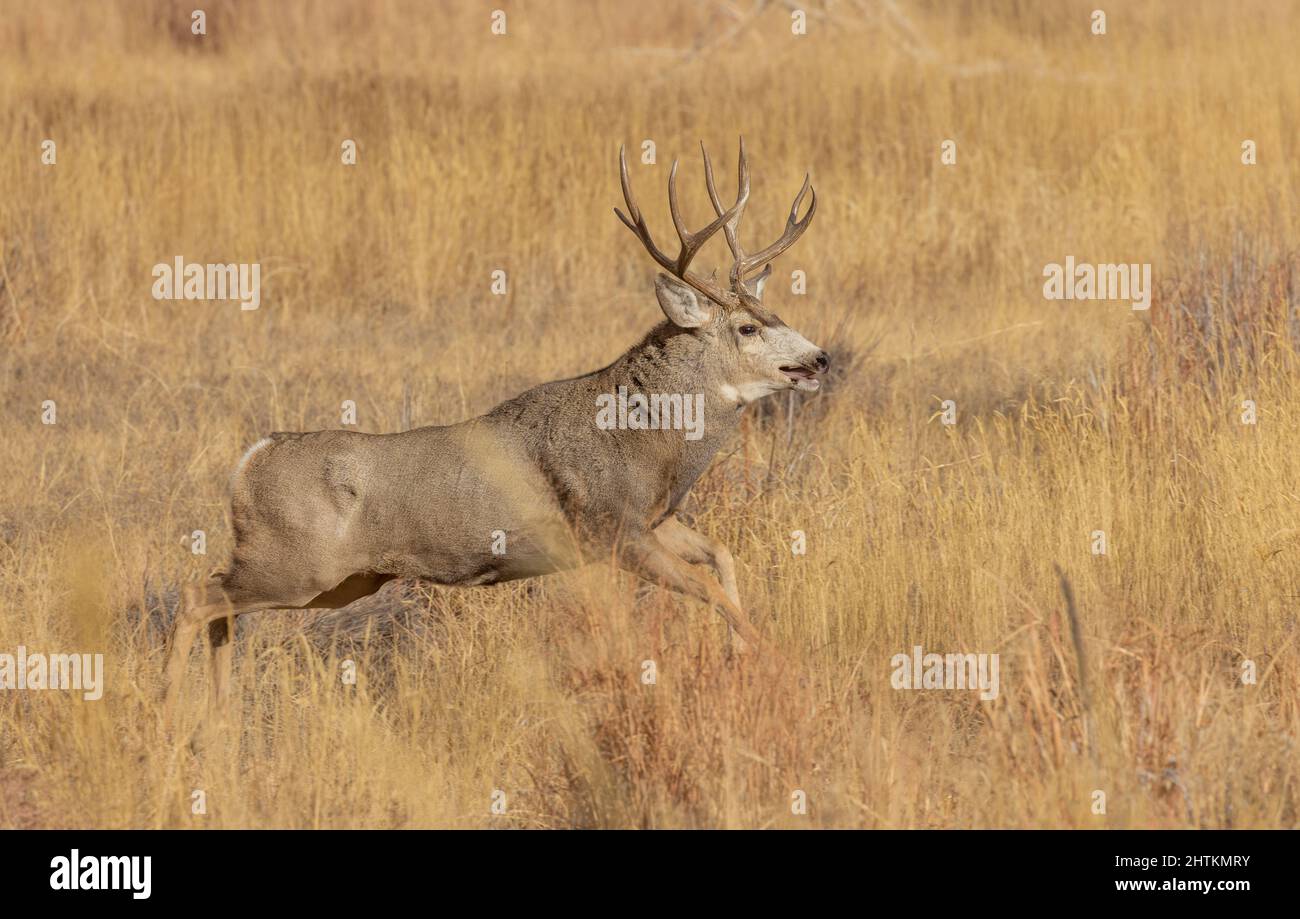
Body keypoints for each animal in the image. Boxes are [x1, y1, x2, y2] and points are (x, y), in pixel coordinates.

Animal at [161, 139, 829, 730]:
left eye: (775, 313)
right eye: (747, 328)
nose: (819, 358)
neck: (645, 441)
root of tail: (252, 457)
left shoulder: (653, 521)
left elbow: (723, 558)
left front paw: (740, 656)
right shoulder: (611, 528)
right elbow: (708, 586)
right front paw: (776, 666)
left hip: (340, 579)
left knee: (218, 599)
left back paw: (218, 716)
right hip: (299, 565)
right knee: (196, 595)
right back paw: (173, 714)